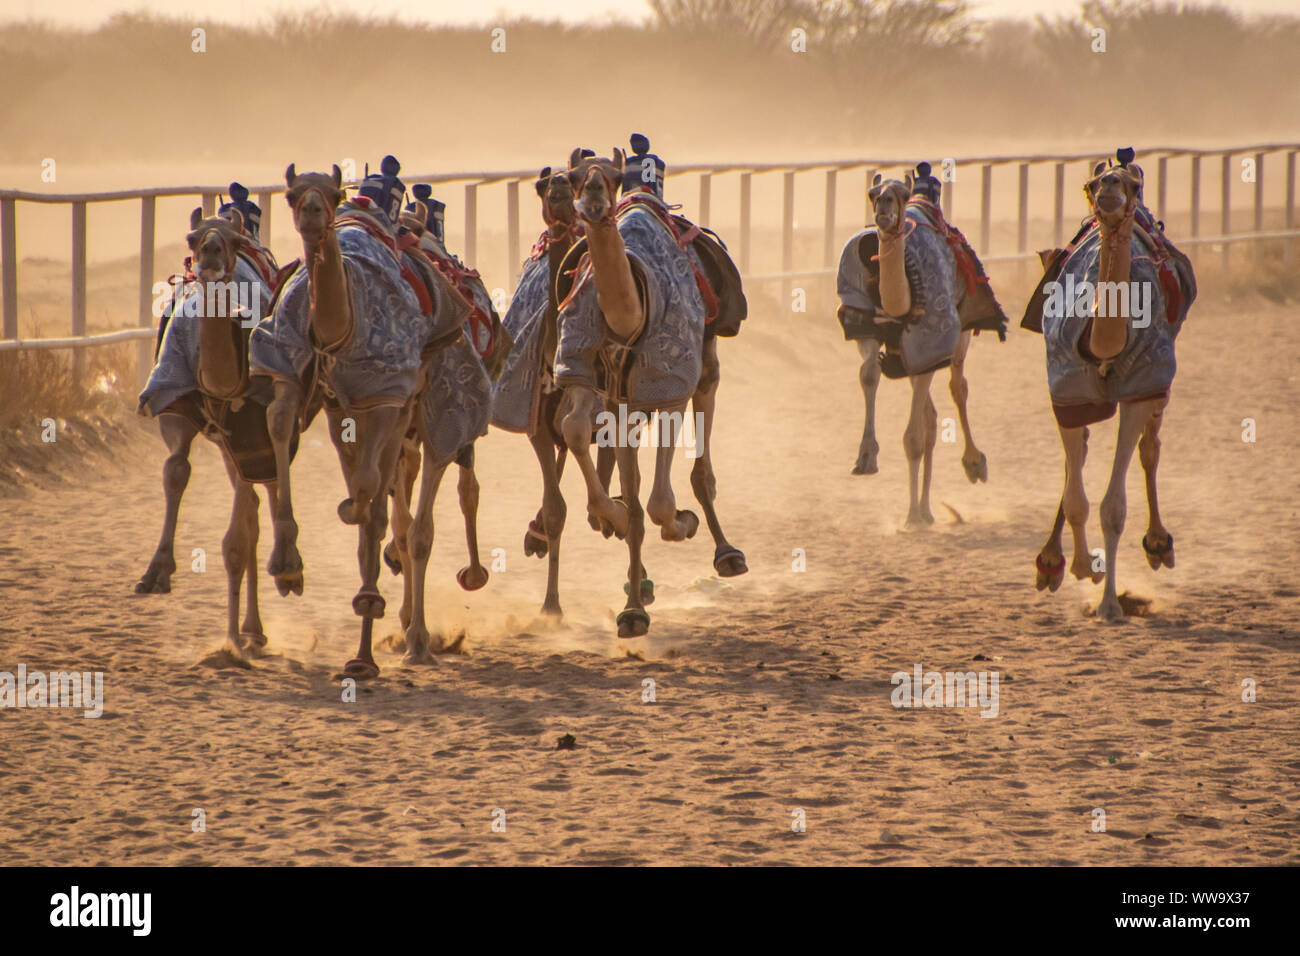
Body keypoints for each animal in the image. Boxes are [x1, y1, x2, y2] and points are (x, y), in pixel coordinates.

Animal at [140, 209, 290, 660]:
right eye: (192, 239)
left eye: (233, 241)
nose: (209, 251)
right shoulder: (175, 406)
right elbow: (175, 471)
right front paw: (156, 572)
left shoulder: (250, 434)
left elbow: (238, 534)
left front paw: (234, 641)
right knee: (252, 505)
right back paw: (251, 630)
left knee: (263, 498)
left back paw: (255, 624)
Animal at [252, 157, 444, 679]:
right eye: (292, 194)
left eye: (333, 193)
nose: (313, 212)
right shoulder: (296, 375)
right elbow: (279, 426)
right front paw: (287, 564)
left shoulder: (385, 398)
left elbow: (367, 493)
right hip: (351, 412)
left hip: (404, 404)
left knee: (392, 495)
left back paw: (398, 625)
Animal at [838, 163, 1007, 524]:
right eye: (872, 193)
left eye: (900, 194)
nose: (883, 210)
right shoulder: (869, 331)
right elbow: (869, 375)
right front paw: (866, 458)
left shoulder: (930, 345)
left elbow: (913, 437)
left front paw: (913, 518)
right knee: (931, 415)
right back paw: (925, 509)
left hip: (958, 336)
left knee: (957, 387)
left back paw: (973, 465)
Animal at [1024, 148, 1195, 620]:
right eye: (1089, 184)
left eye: (1134, 185)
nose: (1109, 189)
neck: (1098, 343)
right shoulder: (1067, 390)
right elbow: (1077, 497)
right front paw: (1081, 568)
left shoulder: (1140, 386)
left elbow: (1113, 508)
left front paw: (1109, 606)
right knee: (1080, 456)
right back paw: (1052, 562)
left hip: (1159, 379)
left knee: (1150, 448)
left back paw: (1158, 545)